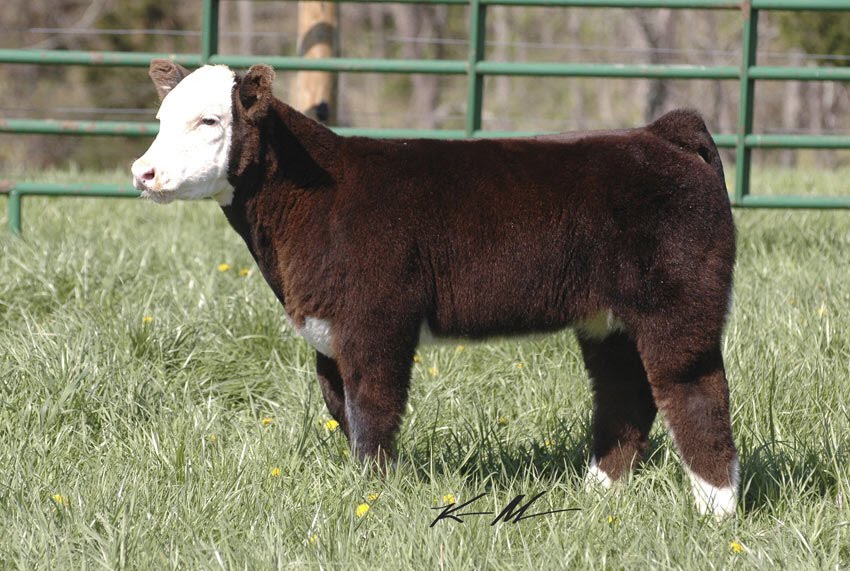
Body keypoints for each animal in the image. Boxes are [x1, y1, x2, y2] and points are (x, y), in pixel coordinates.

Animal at [131, 60, 739, 517]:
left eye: (210, 120)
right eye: (160, 118)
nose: (143, 172)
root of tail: (662, 133)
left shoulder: (375, 325)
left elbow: (372, 410)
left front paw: (371, 494)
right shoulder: (327, 333)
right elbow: (340, 406)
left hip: (679, 306)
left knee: (695, 391)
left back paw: (716, 509)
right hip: (607, 320)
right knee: (625, 393)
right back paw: (596, 493)